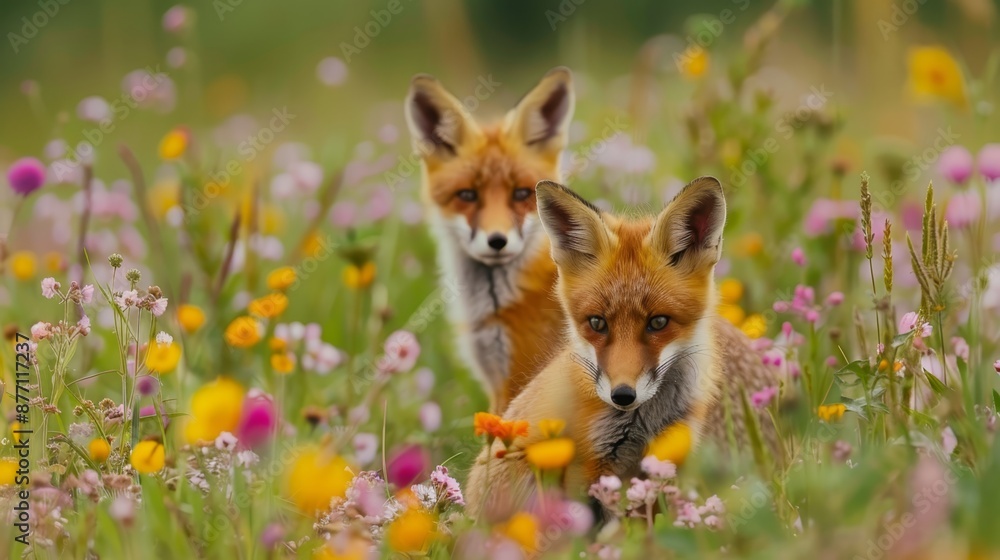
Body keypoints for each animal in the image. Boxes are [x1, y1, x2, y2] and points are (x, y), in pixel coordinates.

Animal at [465, 177, 778, 517]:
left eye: (658, 322)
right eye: (597, 323)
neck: (646, 420)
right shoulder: (588, 466)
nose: (623, 395)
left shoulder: (668, 459)